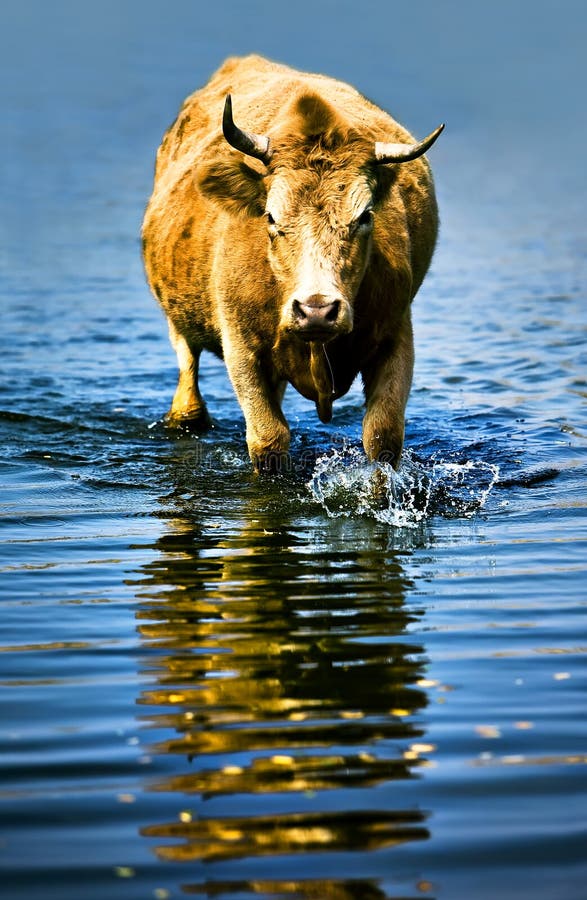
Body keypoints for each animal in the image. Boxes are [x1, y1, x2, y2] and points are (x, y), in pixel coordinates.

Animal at [142, 55, 443, 472]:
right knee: (189, 401)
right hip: (179, 324)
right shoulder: (241, 348)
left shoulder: (396, 337)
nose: (317, 310)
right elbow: (268, 440)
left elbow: (383, 437)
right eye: (270, 216)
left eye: (365, 215)